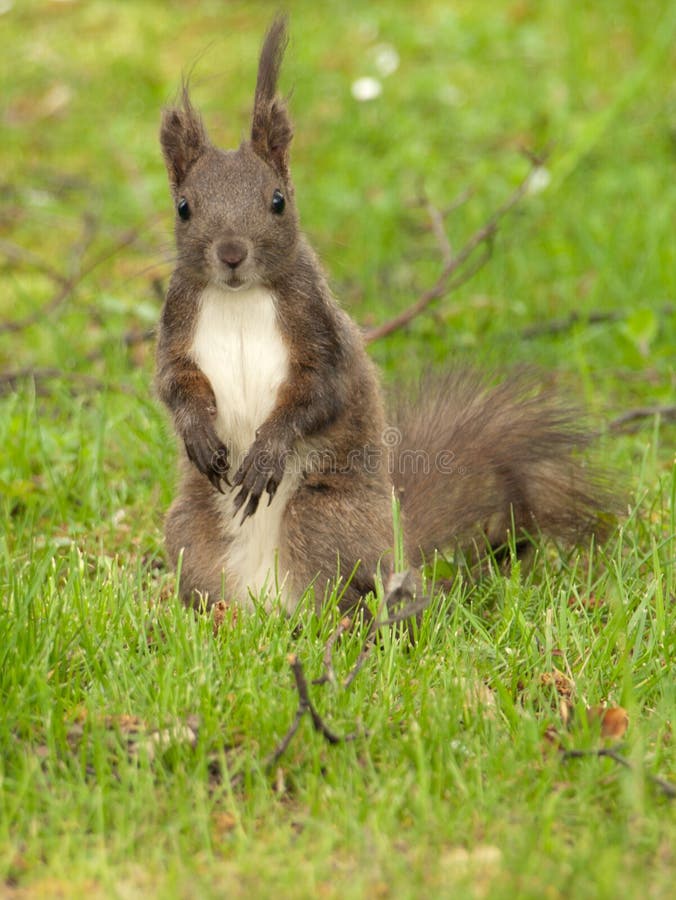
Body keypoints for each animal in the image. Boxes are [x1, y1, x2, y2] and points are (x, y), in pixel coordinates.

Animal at [156, 17, 612, 614]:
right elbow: (173, 383)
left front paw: (267, 452)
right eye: (184, 207)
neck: (238, 299)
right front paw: (199, 435)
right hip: (190, 528)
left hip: (324, 516)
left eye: (278, 201)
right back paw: (209, 617)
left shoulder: (319, 331)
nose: (231, 253)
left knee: (348, 587)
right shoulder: (178, 323)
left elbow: (319, 393)